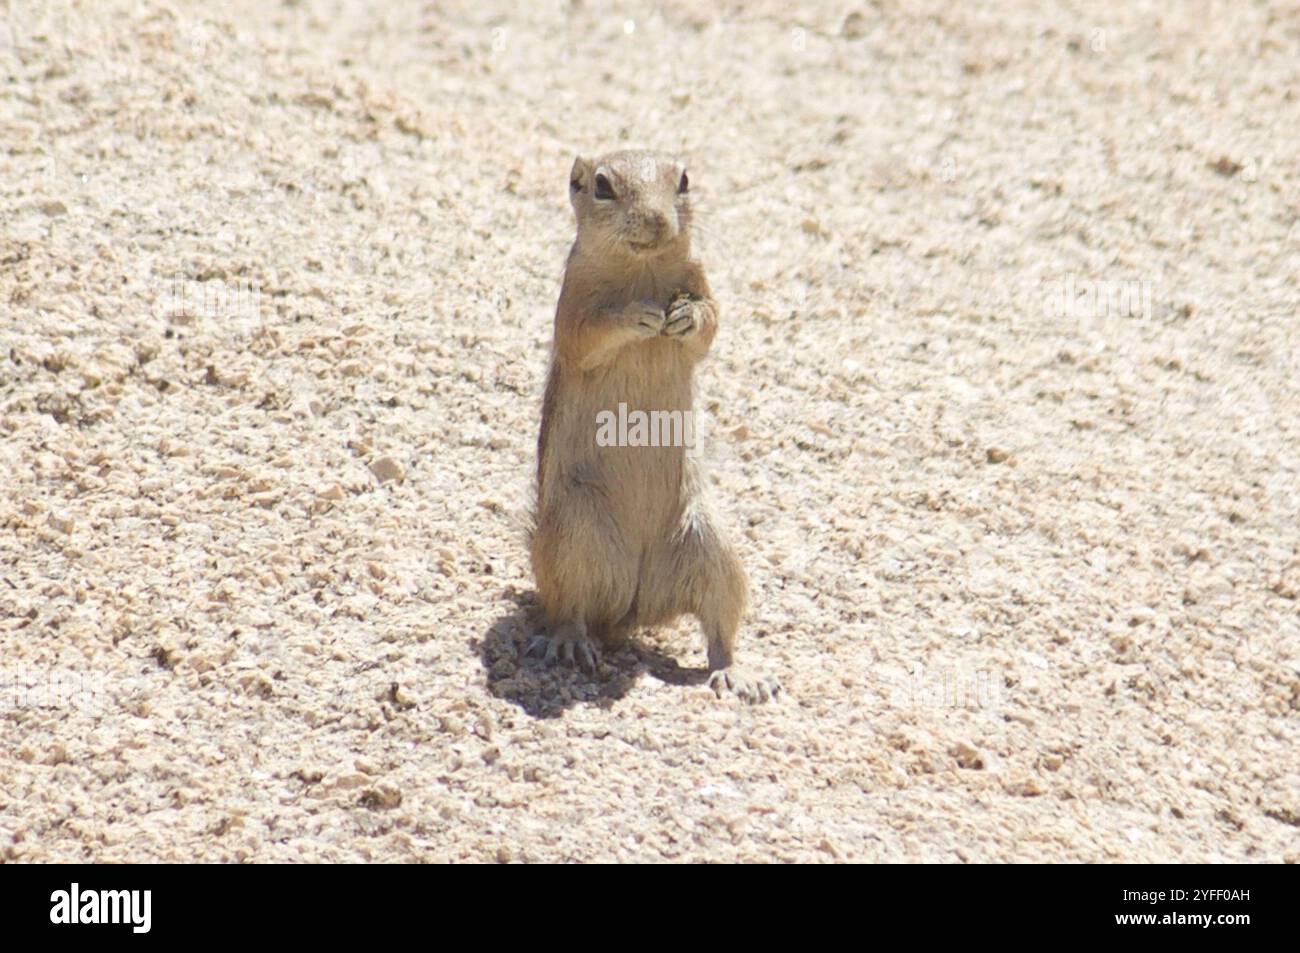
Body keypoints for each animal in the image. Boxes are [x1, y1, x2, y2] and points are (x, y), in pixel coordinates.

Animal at [527, 150, 780, 703]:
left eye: (683, 180)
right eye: (601, 186)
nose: (659, 222)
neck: (642, 267)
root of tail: (633, 607)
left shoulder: (703, 281)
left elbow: (710, 322)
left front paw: (685, 316)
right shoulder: (572, 302)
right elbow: (588, 332)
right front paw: (637, 315)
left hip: (713, 547)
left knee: (720, 630)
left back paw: (738, 675)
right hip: (572, 536)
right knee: (568, 607)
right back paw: (570, 644)